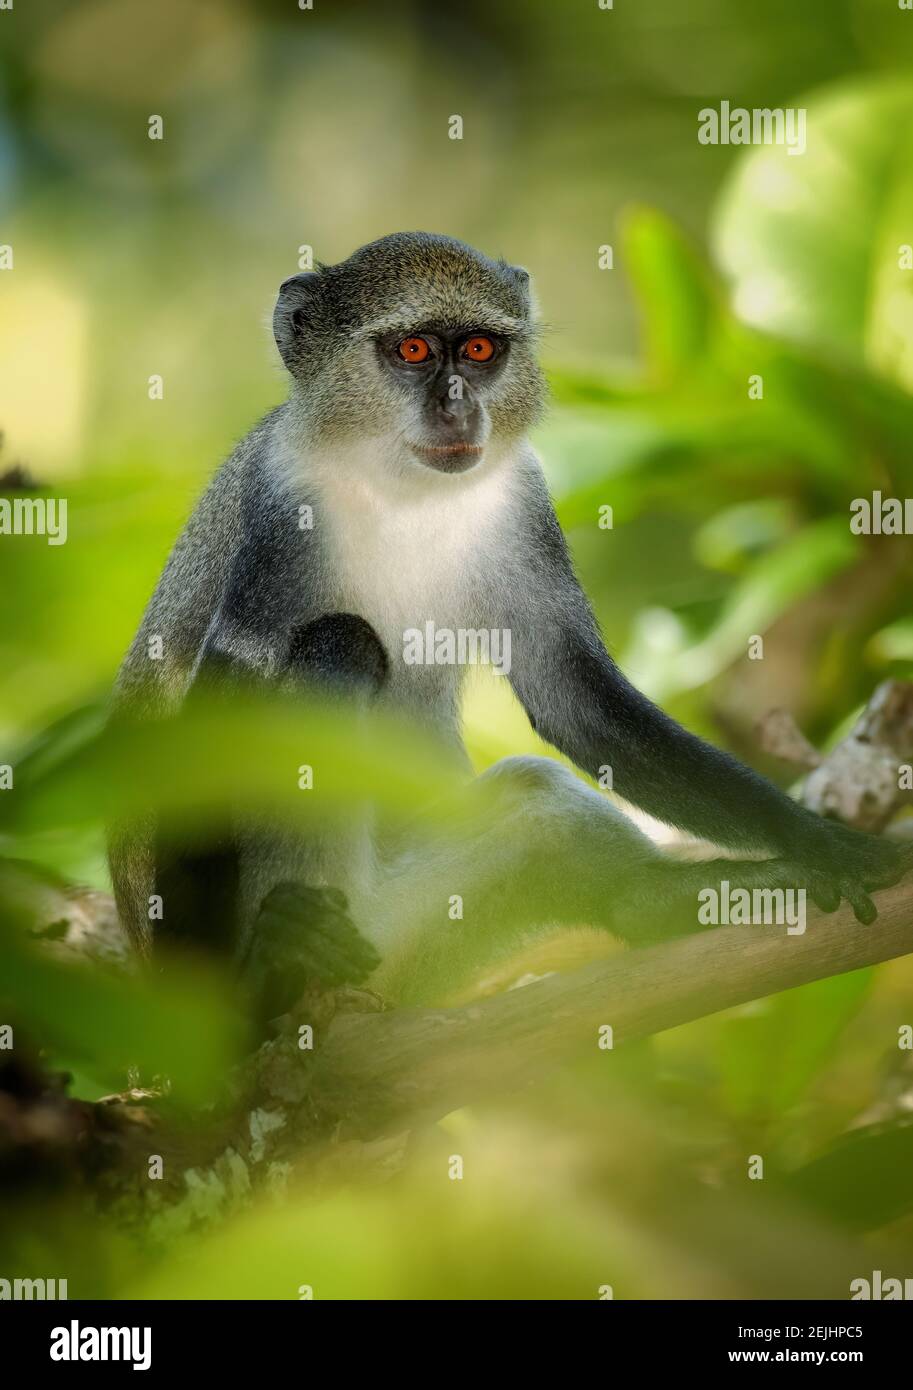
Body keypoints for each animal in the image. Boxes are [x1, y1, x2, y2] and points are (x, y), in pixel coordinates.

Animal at [108, 231, 910, 1013]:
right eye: (414, 350)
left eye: (480, 350)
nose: (459, 408)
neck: (400, 488)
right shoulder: (278, 508)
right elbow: (230, 689)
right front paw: (217, 996)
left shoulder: (520, 501)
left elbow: (573, 694)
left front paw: (818, 844)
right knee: (338, 646)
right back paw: (274, 970)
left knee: (538, 799)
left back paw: (661, 900)